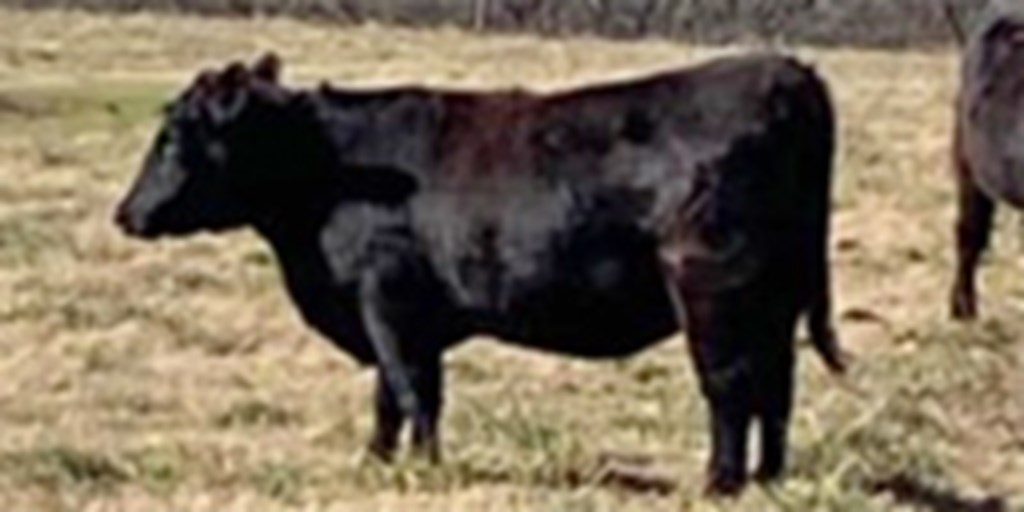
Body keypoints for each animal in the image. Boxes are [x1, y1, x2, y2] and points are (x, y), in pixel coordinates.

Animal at [114, 52, 844, 495]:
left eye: (173, 137)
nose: (125, 213)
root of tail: (785, 72)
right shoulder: (396, 318)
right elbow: (390, 394)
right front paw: (377, 461)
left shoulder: (387, 304)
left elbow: (413, 392)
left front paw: (425, 469)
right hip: (774, 299)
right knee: (777, 386)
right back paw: (769, 480)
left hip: (715, 294)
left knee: (731, 388)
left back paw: (720, 483)